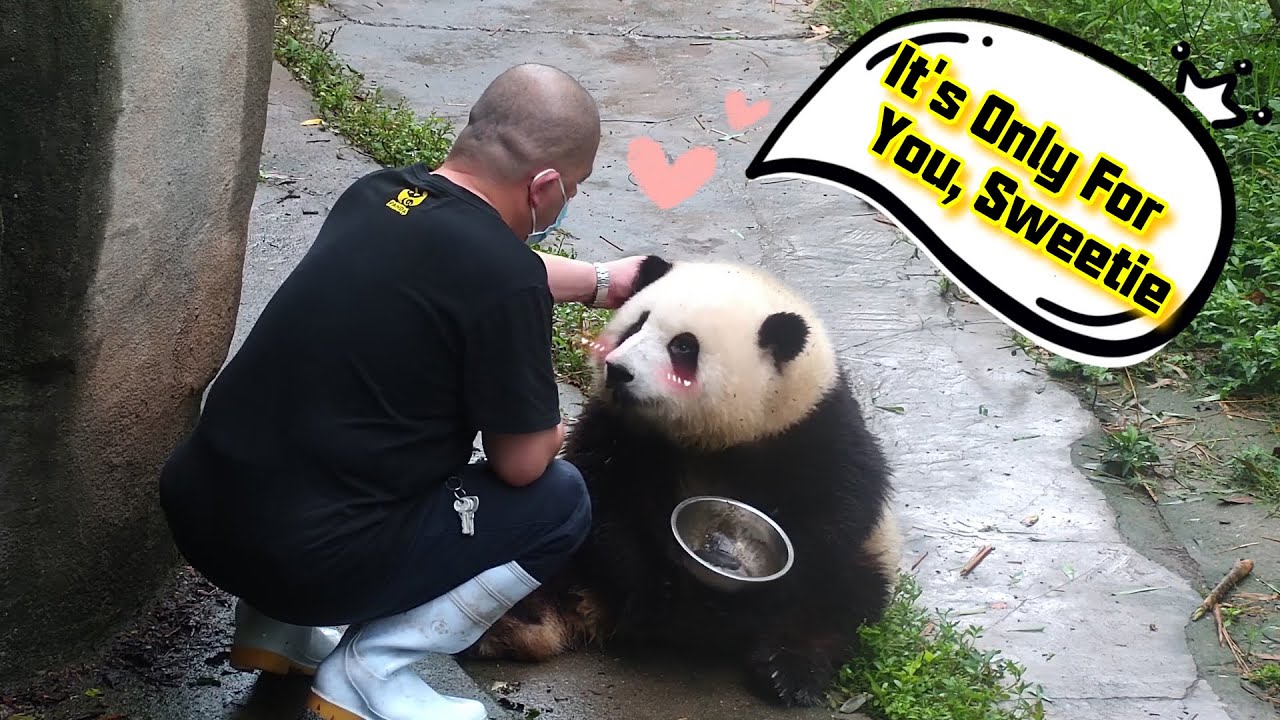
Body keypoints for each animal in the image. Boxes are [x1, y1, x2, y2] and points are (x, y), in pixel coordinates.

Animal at [463, 255, 903, 708]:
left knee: (838, 601)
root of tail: (595, 614)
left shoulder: (813, 431)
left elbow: (833, 516)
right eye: (637, 325)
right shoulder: (621, 430)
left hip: (870, 557)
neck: (712, 438)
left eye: (683, 347)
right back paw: (511, 624)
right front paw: (657, 593)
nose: (618, 371)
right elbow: (605, 498)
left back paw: (786, 670)